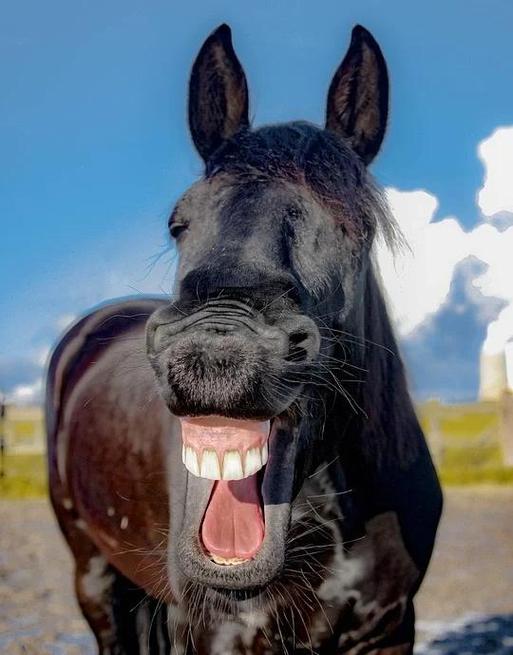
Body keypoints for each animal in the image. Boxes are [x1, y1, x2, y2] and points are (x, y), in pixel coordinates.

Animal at [46, 23, 442, 654]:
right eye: (178, 222)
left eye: (356, 226)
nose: (215, 351)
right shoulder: (218, 632)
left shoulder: (387, 628)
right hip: (94, 574)